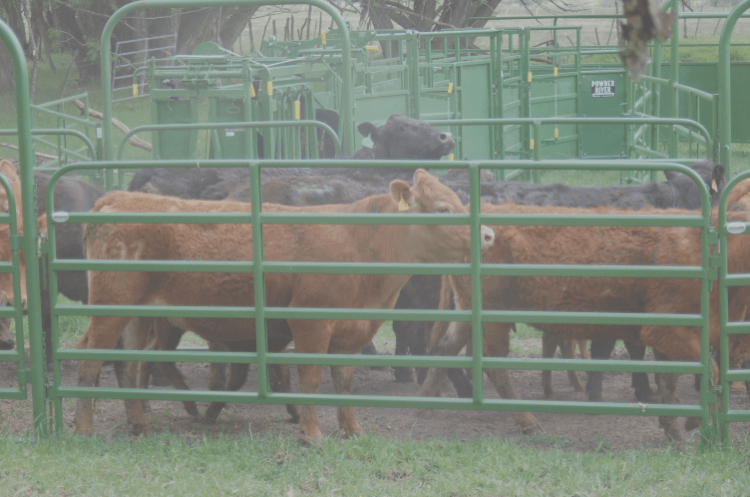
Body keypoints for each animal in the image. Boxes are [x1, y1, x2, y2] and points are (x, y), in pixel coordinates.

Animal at [74, 169, 494, 443]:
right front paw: (312, 433)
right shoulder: (310, 325)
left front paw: (352, 428)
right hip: (110, 307)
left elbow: (344, 382)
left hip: (137, 314)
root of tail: (116, 199)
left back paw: (140, 424)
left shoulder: (349, 332)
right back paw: (84, 428)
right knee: (90, 356)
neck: (361, 242)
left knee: (128, 362)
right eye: (443, 209)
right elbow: (309, 379)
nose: (489, 234)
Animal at [419, 192, 750, 441]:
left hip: (469, 313)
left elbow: (669, 383)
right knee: (494, 367)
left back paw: (424, 407)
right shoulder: (668, 331)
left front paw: (675, 432)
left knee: (445, 349)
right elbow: (710, 373)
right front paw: (692, 424)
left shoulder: (671, 340)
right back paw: (528, 422)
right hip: (492, 318)